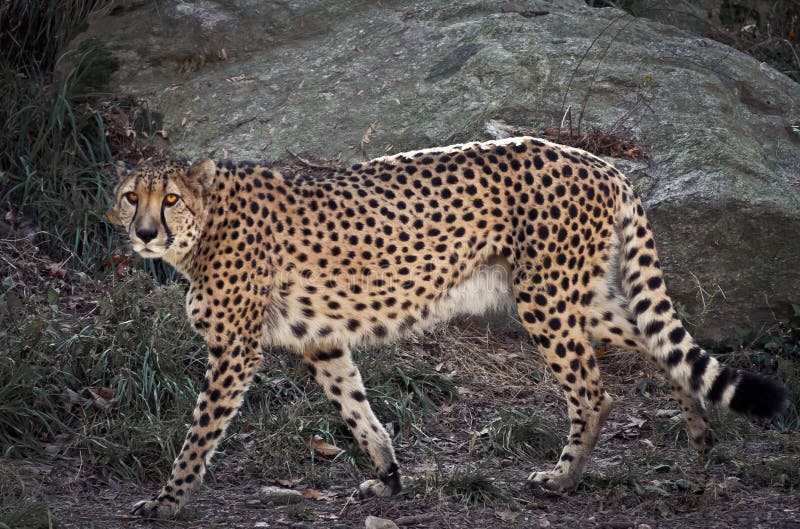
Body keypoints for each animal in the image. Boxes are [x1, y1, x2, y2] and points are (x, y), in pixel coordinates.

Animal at [113, 136, 788, 518]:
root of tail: (599, 161)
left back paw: (563, 477)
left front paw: (168, 502)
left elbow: (199, 435)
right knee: (661, 345)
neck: (203, 227)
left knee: (595, 392)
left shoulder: (234, 350)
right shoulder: (322, 340)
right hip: (578, 295)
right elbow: (357, 409)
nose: (144, 233)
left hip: (545, 297)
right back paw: (699, 438)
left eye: (169, 199)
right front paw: (388, 478)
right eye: (129, 197)